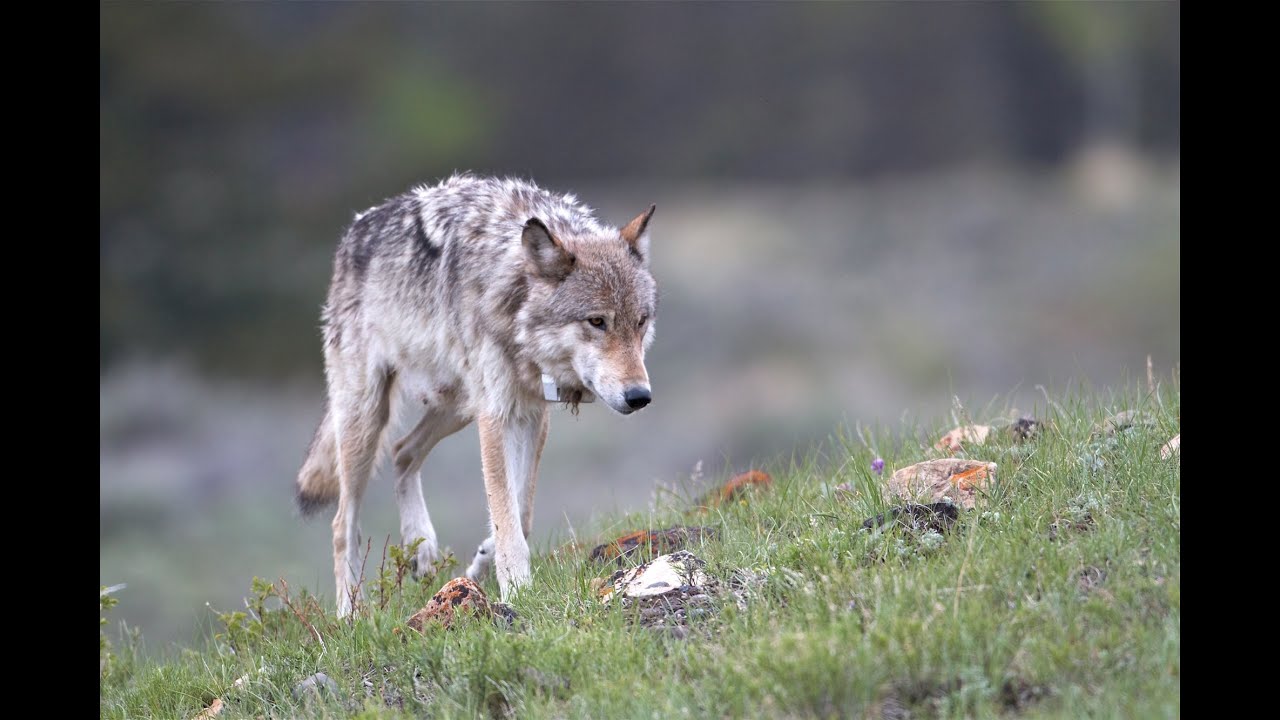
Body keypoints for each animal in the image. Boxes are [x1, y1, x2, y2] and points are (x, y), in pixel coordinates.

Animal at [294, 174, 658, 616]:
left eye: (641, 322)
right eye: (597, 322)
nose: (640, 396)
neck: (512, 293)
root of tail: (353, 231)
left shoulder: (531, 413)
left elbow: (521, 511)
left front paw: (486, 562)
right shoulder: (496, 414)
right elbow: (505, 512)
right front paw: (516, 589)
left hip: (458, 406)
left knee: (402, 451)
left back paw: (421, 547)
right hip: (368, 416)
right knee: (342, 522)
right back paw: (350, 612)